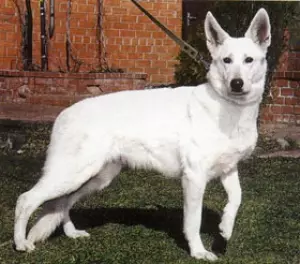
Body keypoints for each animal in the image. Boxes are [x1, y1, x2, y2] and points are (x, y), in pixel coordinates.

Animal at [14, 8, 270, 260]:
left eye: (248, 60)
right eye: (227, 60)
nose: (236, 83)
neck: (228, 107)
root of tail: (63, 114)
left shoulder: (228, 169)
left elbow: (237, 199)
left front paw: (225, 228)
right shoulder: (194, 178)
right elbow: (193, 221)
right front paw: (198, 251)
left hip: (96, 177)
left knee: (63, 203)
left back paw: (71, 233)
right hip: (72, 174)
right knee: (26, 199)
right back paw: (20, 243)